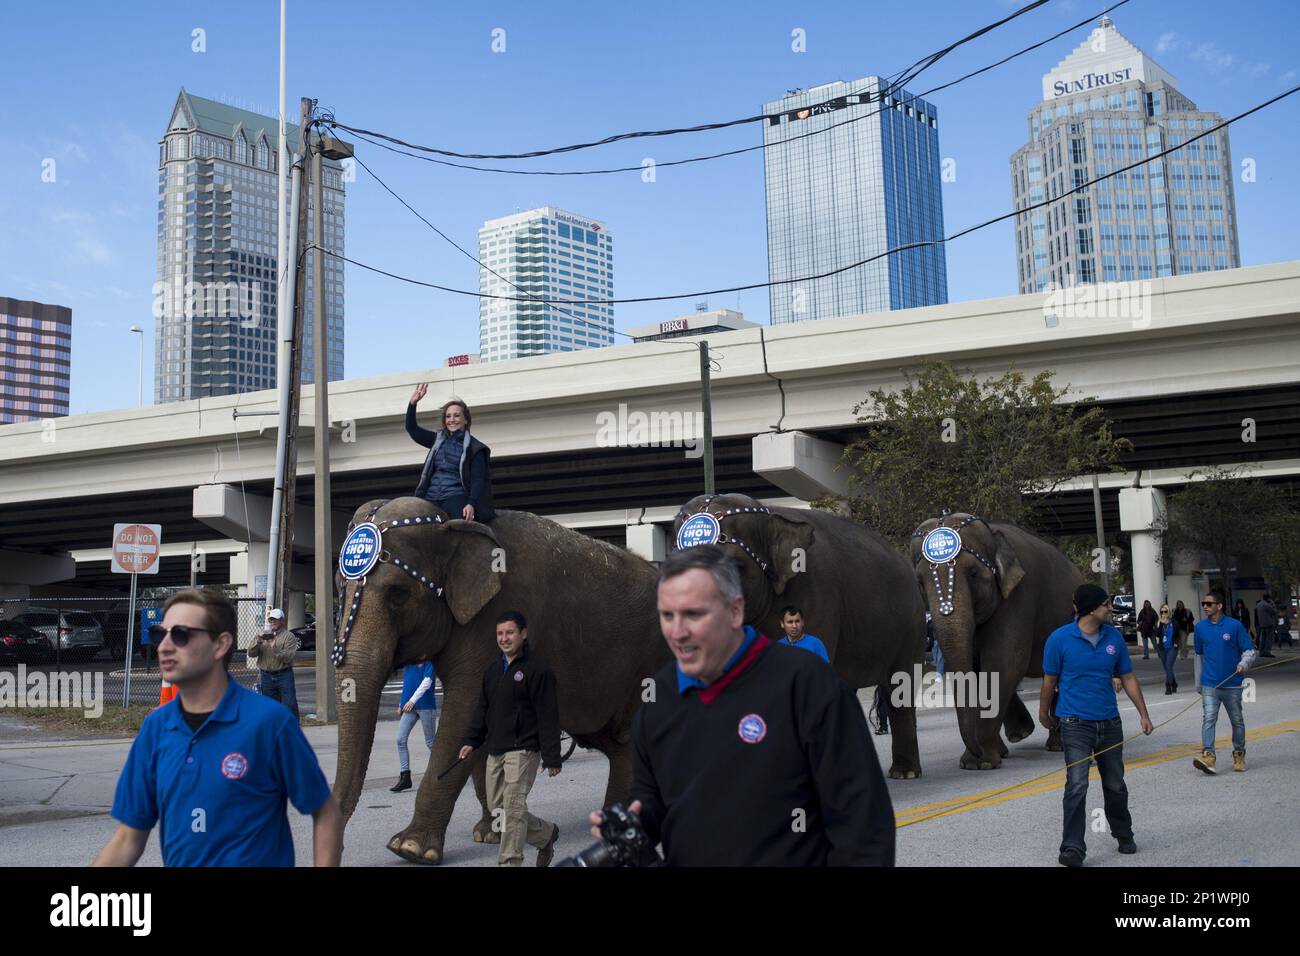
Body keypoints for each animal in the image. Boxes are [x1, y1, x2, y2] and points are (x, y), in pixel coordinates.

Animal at [331, 496, 669, 864]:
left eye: (398, 594)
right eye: (340, 589)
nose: (337, 851)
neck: (451, 523)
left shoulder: (494, 618)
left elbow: (462, 714)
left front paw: (409, 849)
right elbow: (481, 719)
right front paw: (489, 833)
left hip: (650, 663)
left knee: (627, 742)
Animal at [672, 493, 927, 779]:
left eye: (735, 566)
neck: (768, 512)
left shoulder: (815, 593)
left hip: (911, 627)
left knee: (900, 689)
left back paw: (905, 773)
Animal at [910, 512, 1079, 770]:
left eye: (973, 574)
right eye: (920, 582)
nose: (976, 753)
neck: (992, 532)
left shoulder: (1019, 597)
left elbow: (1004, 662)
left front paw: (980, 763)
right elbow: (979, 669)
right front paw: (1006, 744)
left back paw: (1056, 745)